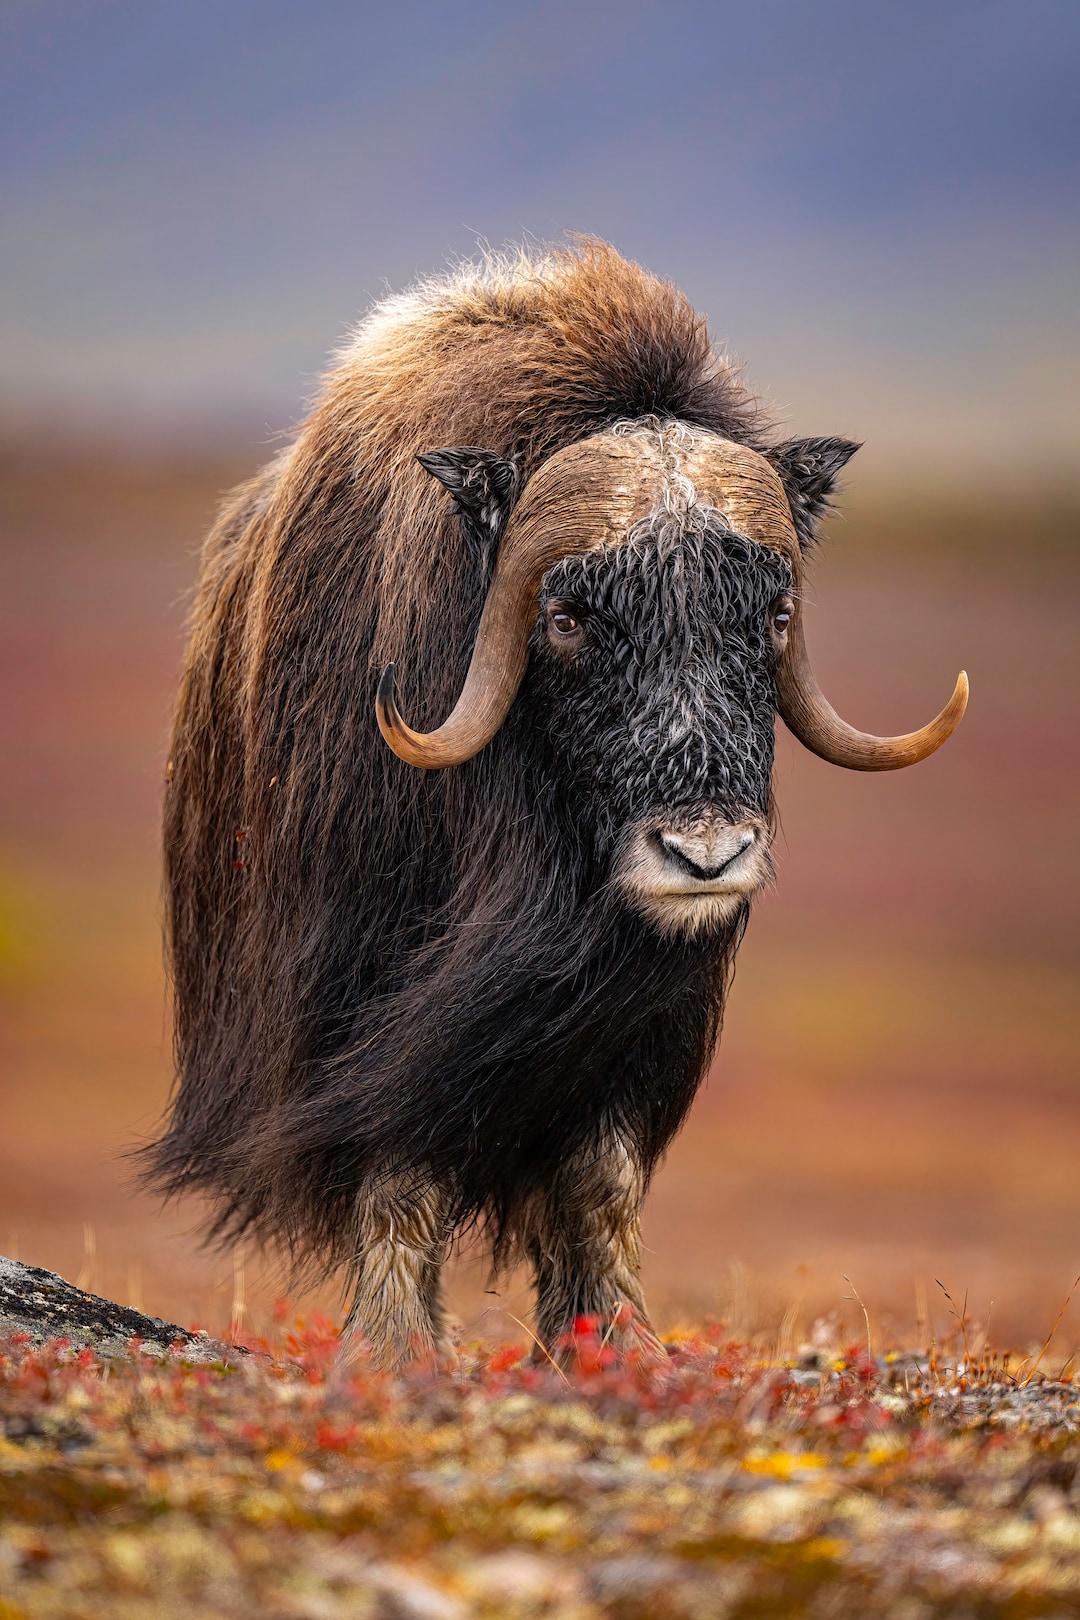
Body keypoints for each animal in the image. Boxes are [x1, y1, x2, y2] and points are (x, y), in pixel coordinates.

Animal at [147, 240, 966, 1368]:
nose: (704, 856)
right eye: (569, 616)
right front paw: (396, 1358)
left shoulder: (647, 1021)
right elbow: (395, 1158)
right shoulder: (368, 978)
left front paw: (616, 1349)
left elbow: (599, 1177)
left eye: (774, 612)